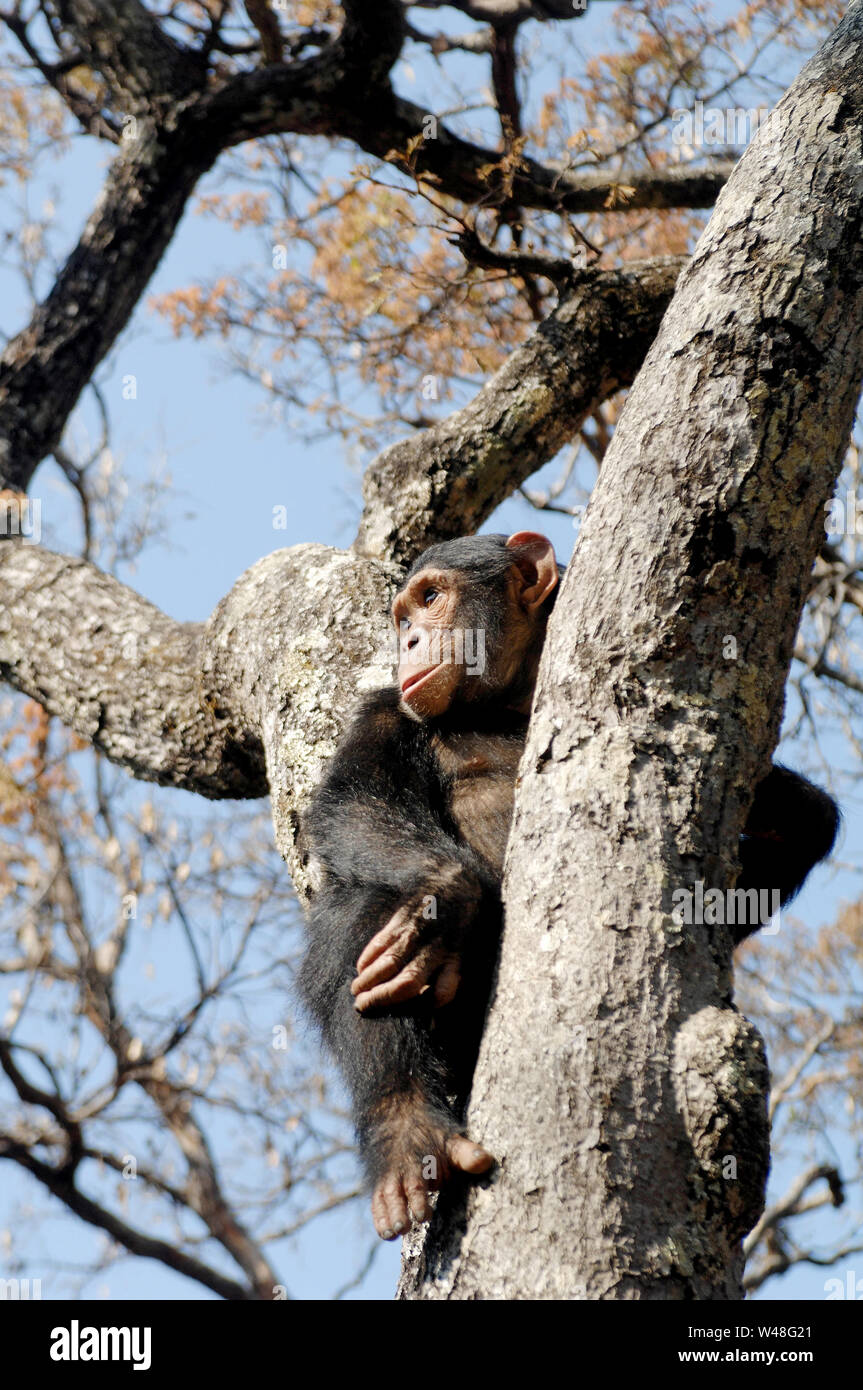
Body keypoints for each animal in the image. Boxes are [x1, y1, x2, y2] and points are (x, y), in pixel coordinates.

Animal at [298, 531, 840, 1240]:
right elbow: (352, 800)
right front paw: (450, 898)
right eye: (402, 616)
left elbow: (805, 822)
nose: (409, 639)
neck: (507, 699)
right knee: (370, 908)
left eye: (431, 597)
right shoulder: (387, 712)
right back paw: (407, 1130)